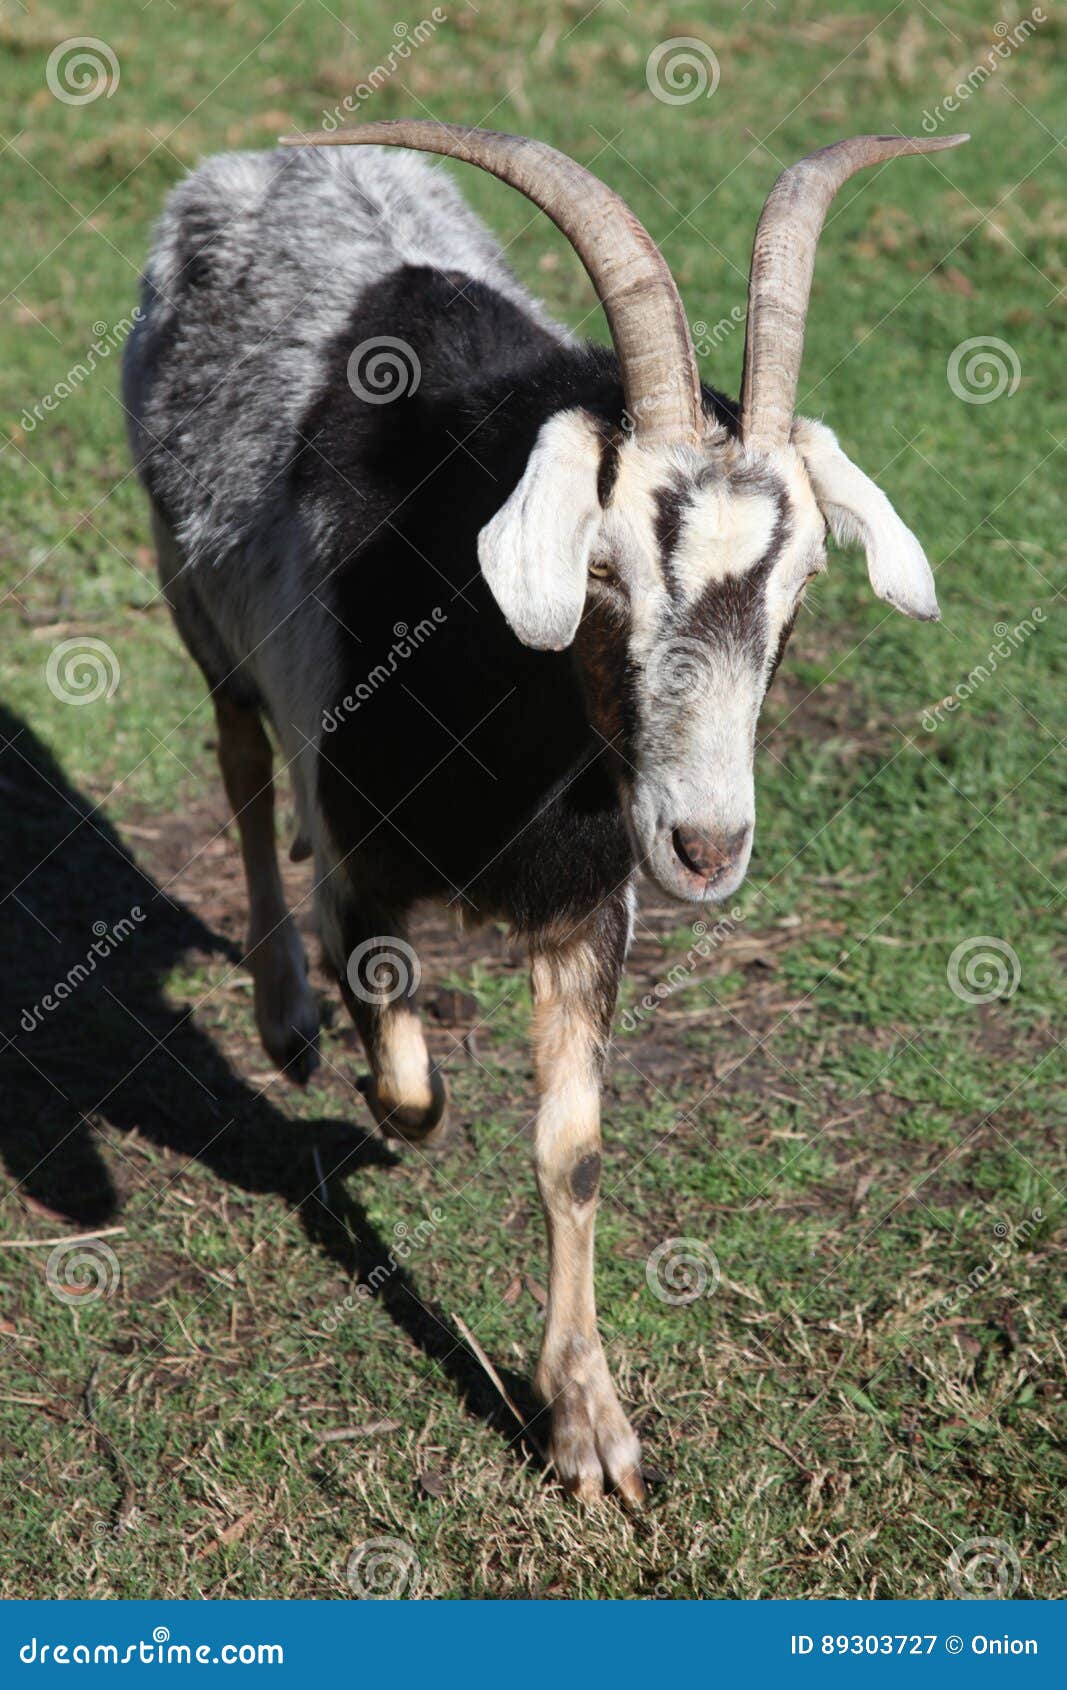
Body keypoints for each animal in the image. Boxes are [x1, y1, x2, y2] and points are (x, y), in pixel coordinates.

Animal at [124, 120, 967, 1505]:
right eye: (601, 571)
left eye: (798, 586)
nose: (704, 846)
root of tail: (263, 162)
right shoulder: (365, 862)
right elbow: (408, 1071)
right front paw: (375, 1107)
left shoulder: (589, 898)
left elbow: (570, 1149)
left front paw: (588, 1428)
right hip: (192, 591)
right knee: (241, 760)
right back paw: (286, 1011)